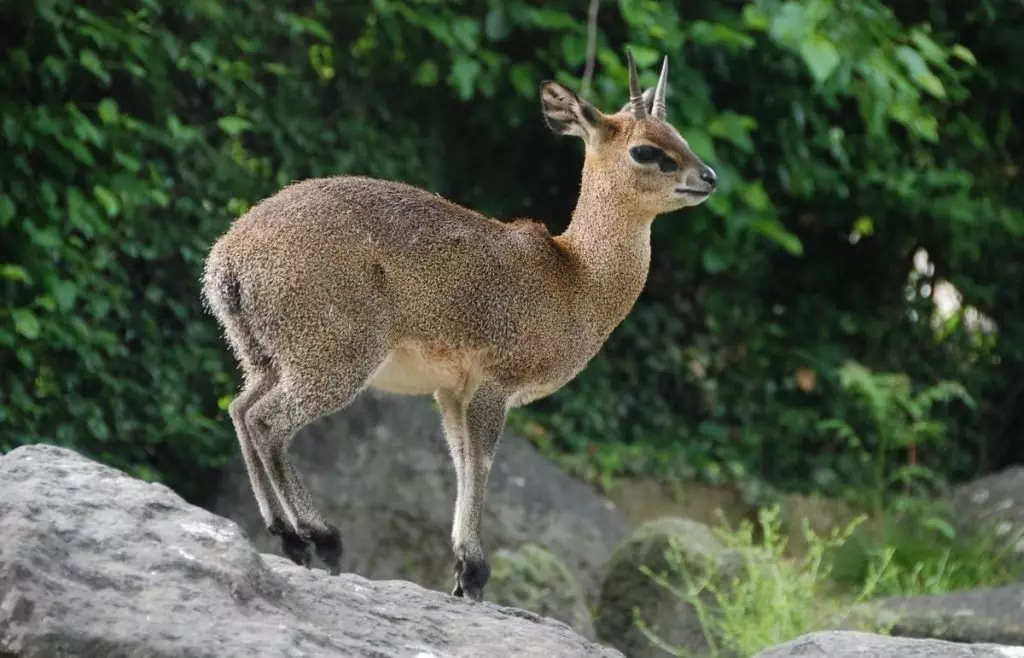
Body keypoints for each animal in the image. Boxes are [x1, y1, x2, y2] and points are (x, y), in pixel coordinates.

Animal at [201, 52, 720, 601]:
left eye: (677, 133)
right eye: (646, 150)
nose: (708, 176)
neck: (576, 277)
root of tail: (227, 261)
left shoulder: (451, 391)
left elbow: (462, 461)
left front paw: (462, 572)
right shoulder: (494, 384)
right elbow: (483, 462)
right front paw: (473, 574)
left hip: (266, 359)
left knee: (240, 410)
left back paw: (289, 538)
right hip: (332, 361)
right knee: (268, 422)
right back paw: (322, 539)